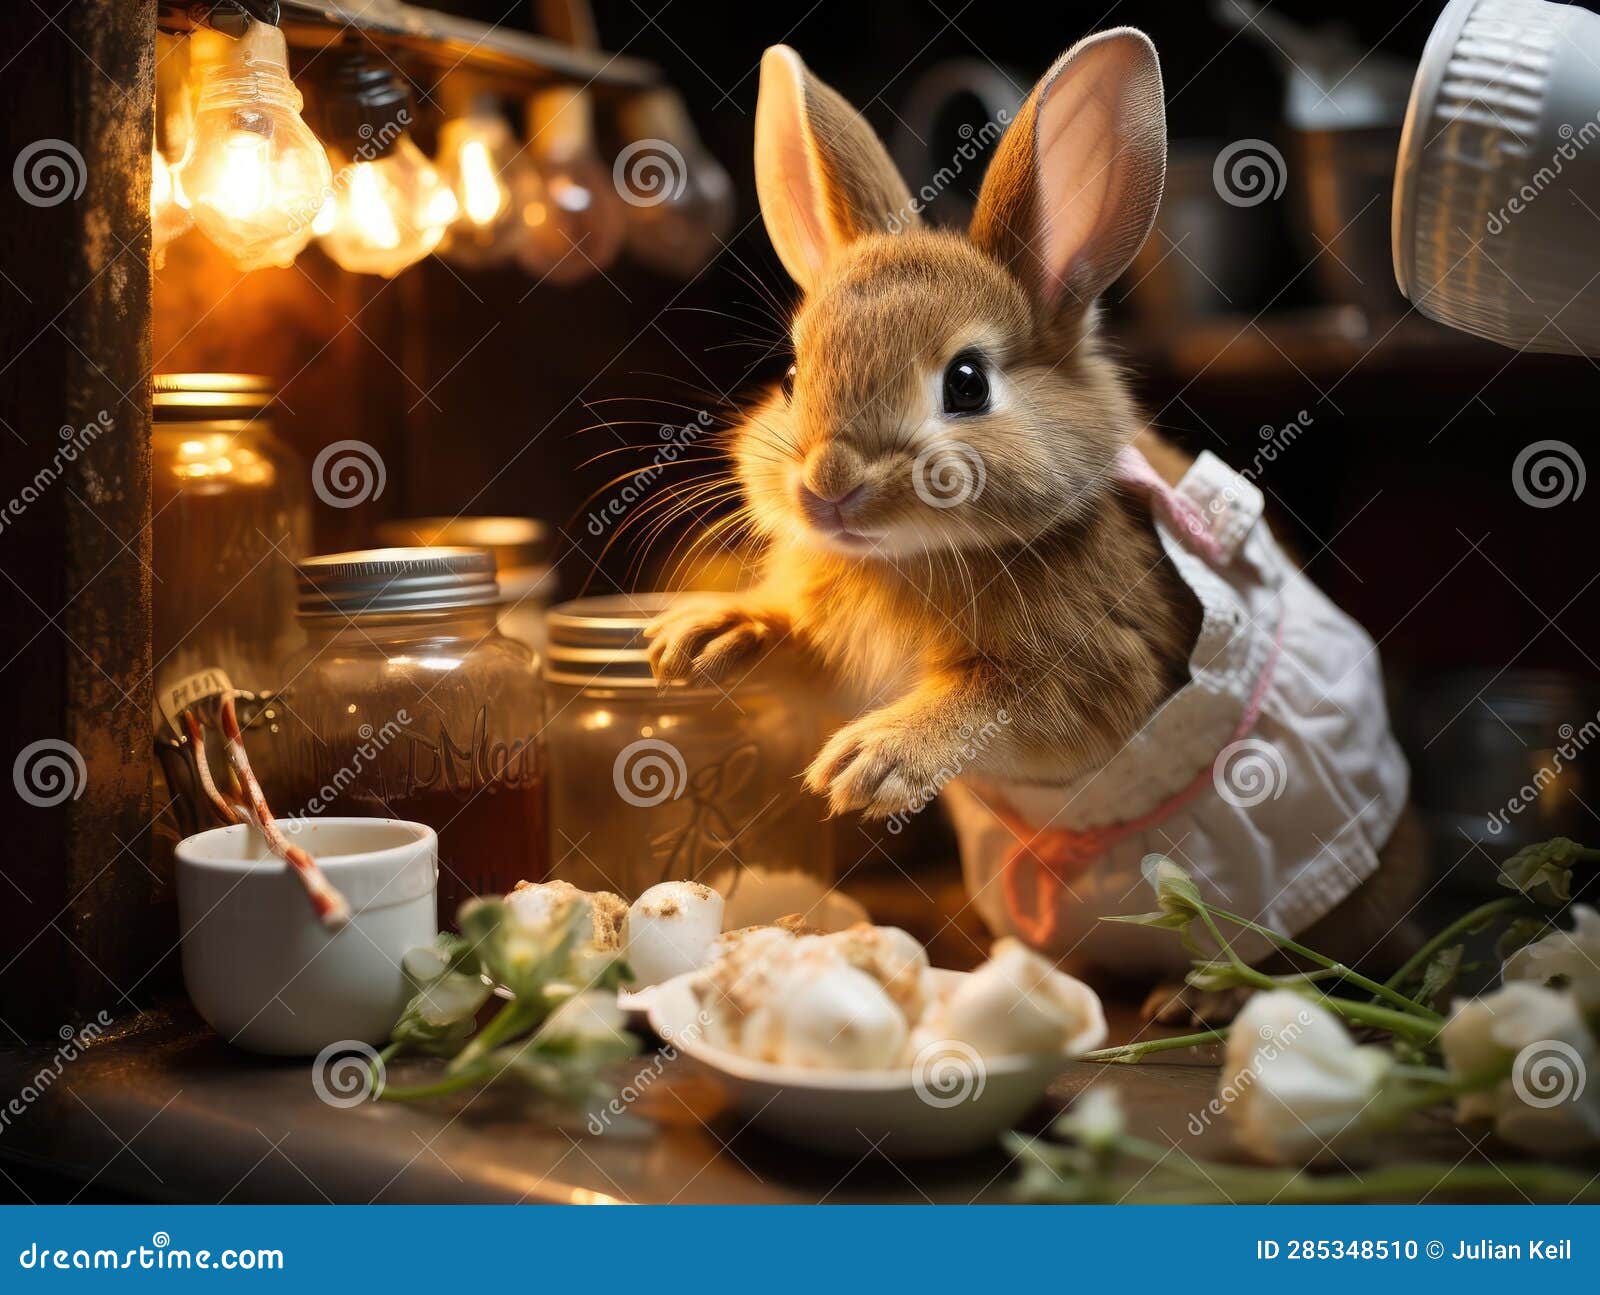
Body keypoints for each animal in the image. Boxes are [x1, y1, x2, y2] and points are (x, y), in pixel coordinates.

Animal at [646, 30, 1424, 1022]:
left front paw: (870, 763)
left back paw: (1194, 999)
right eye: (791, 373)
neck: (920, 554)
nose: (826, 487)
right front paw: (699, 639)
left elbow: (1002, 703)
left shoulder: (1110, 668)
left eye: (967, 382)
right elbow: (798, 642)